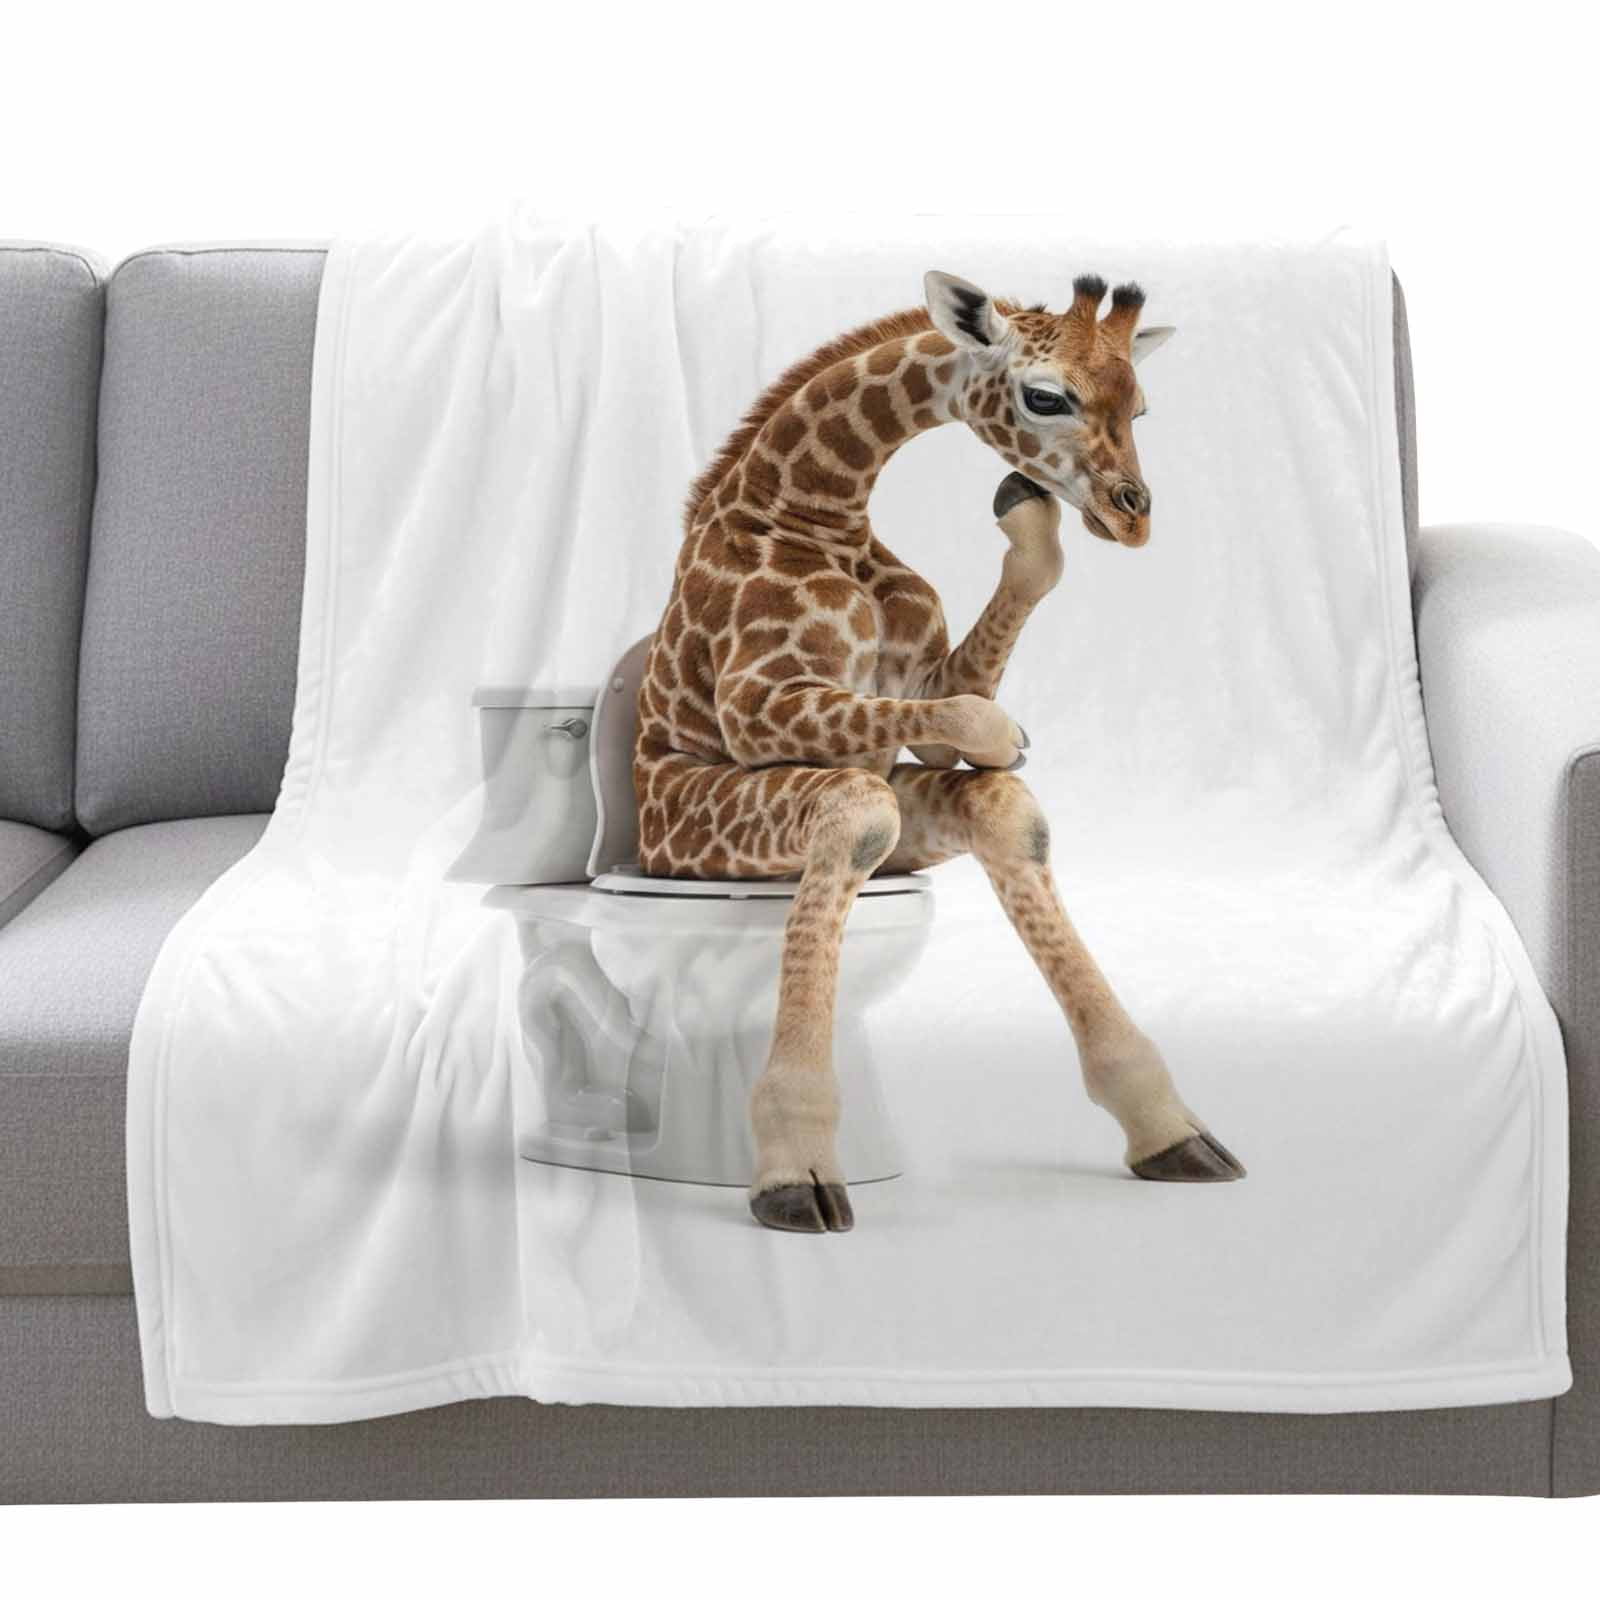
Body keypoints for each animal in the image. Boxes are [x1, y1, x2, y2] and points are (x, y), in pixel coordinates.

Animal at [634, 269, 1246, 1233]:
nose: (1133, 519)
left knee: (1001, 809)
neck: (816, 507)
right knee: (859, 811)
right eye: (1046, 396)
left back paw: (1170, 1131)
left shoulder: (912, 690)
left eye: (1141, 407)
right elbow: (977, 725)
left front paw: (1025, 516)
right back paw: (795, 1169)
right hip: (696, 837)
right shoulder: (759, 703)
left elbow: (973, 688)